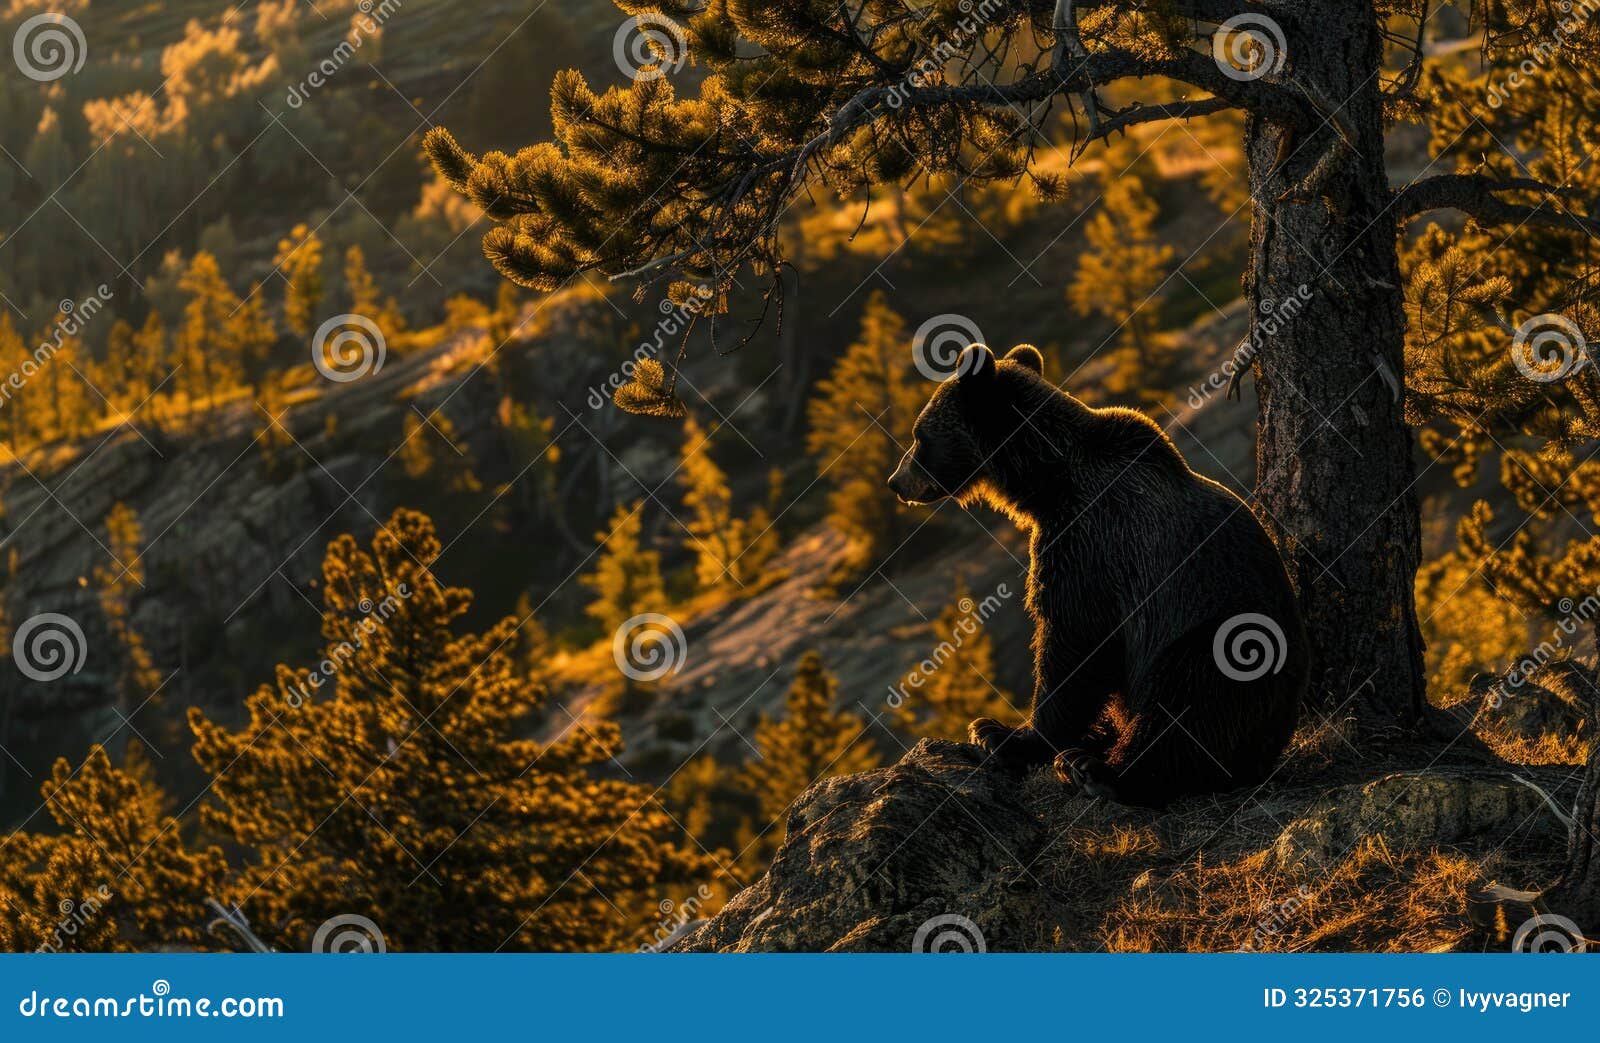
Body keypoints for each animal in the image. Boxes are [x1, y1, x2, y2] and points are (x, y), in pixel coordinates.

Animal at [887, 342, 1306, 808]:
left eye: (919, 435)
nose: (895, 481)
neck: (1047, 481)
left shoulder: (1089, 544)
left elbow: (1074, 643)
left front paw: (1005, 734)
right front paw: (994, 728)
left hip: (1224, 641)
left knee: (1190, 703)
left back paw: (1098, 770)